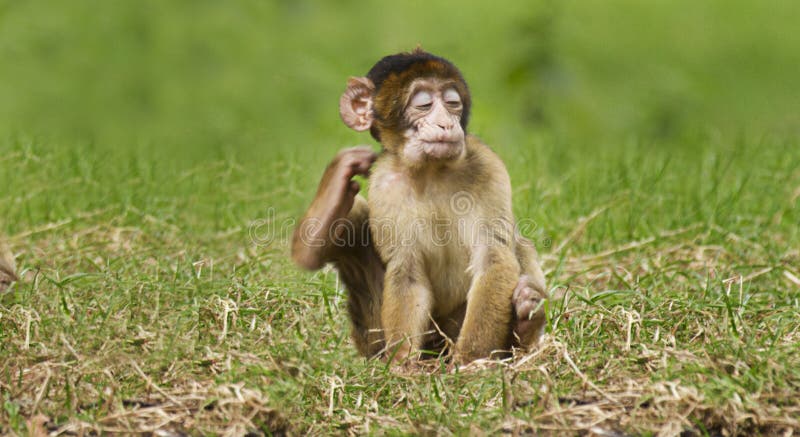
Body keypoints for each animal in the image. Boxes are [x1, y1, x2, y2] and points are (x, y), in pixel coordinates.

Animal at [292, 49, 547, 363]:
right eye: (423, 104)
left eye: (452, 103)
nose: (446, 124)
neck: (431, 170)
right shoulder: (385, 185)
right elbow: (406, 268)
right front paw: (402, 362)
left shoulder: (486, 164)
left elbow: (493, 255)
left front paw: (469, 362)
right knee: (328, 241)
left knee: (519, 245)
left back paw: (525, 324)